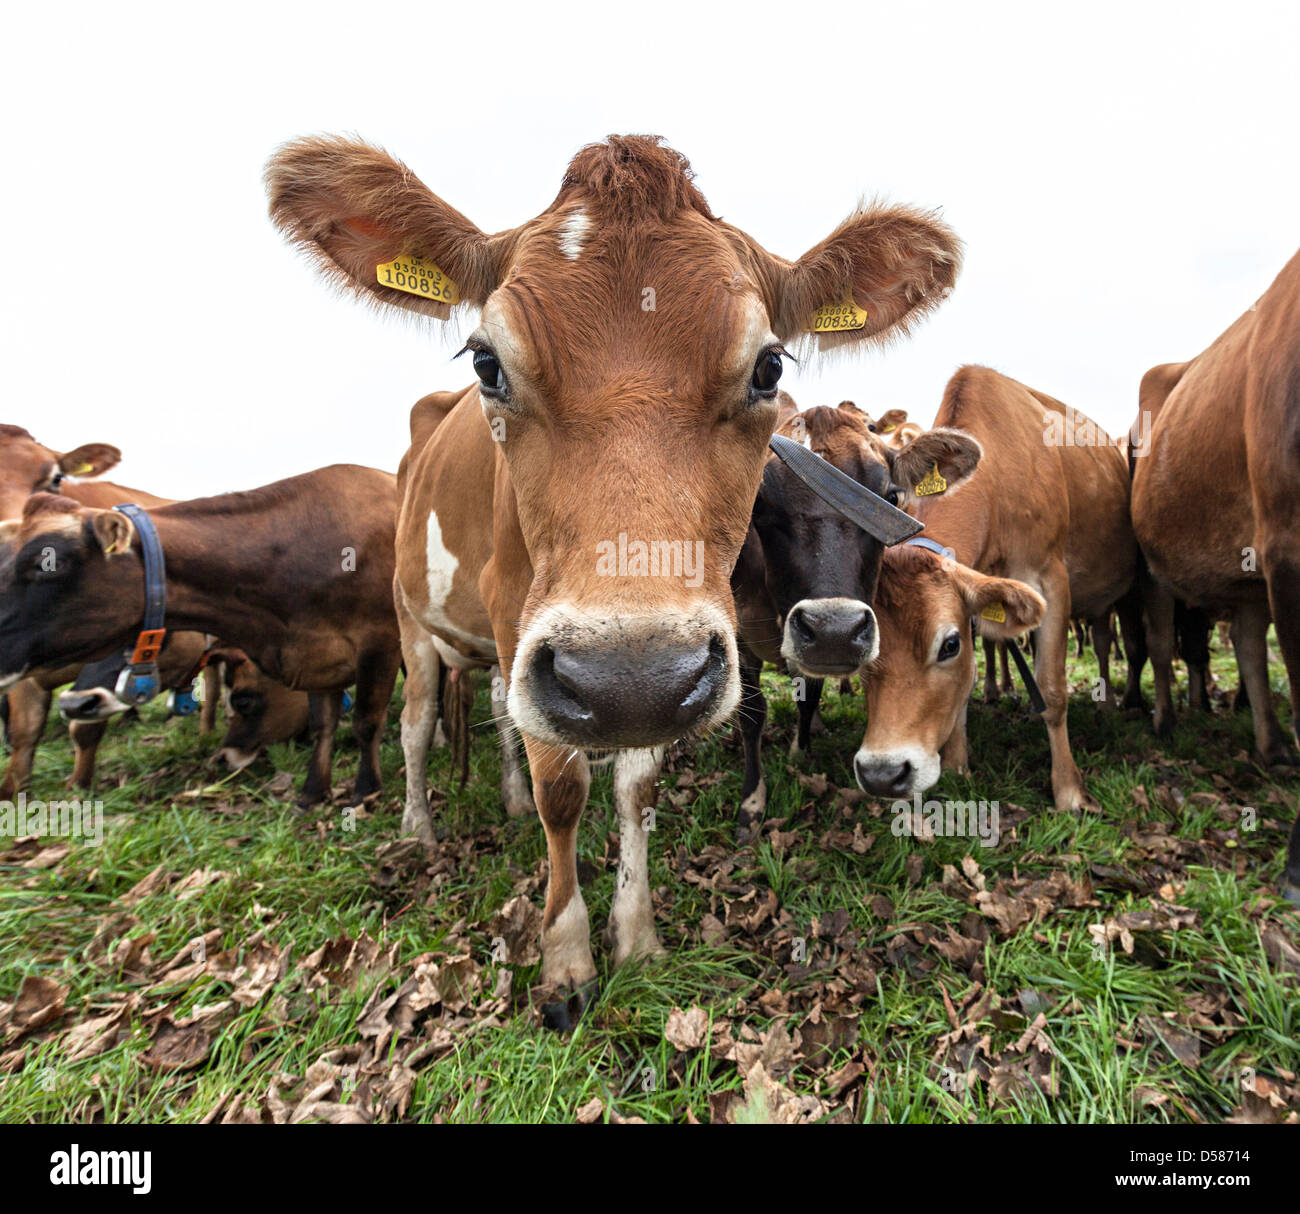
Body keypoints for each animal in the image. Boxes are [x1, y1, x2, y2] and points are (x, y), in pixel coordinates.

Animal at [0, 464, 401, 806]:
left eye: (47, 564)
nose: (74, 703)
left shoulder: (379, 644)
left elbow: (366, 722)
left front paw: (365, 793)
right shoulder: (318, 656)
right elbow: (323, 725)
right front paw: (312, 793)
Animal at [731, 399, 982, 836]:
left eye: (891, 498)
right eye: (758, 504)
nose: (835, 631)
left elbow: (808, 696)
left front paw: (801, 750)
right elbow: (753, 713)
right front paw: (752, 801)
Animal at [1130, 250, 1300, 900]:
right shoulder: (1288, 544)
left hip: (1248, 579)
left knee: (1248, 647)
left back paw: (1273, 746)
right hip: (1155, 569)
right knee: (1158, 645)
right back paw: (1164, 720)